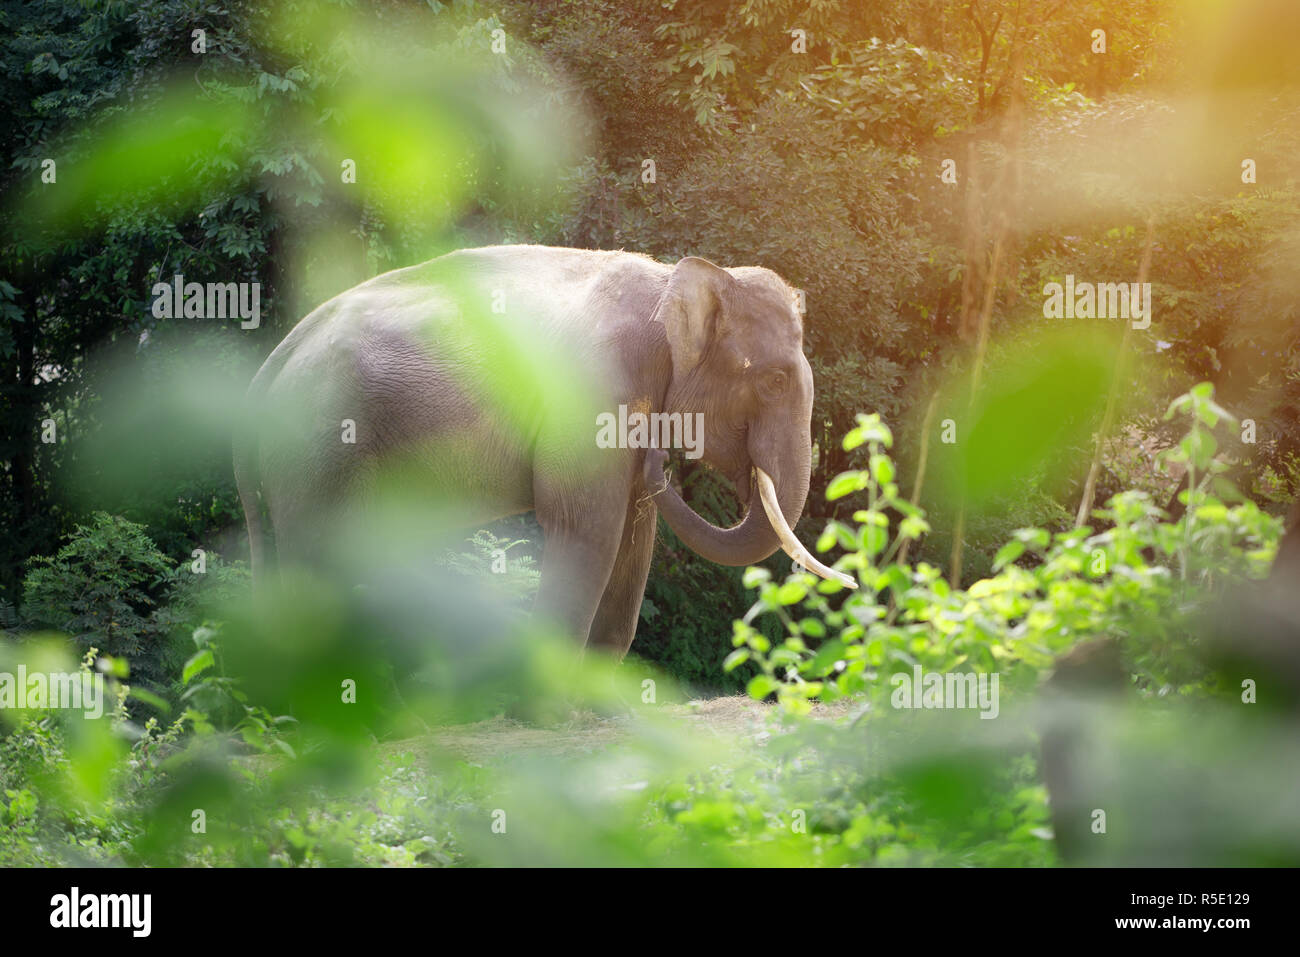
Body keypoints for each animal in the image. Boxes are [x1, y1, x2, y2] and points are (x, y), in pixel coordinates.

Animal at [233, 244, 853, 657]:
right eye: (773, 381)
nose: (660, 456)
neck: (668, 281)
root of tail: (275, 360)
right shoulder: (589, 394)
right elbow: (586, 528)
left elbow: (634, 536)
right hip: (316, 442)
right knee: (318, 555)